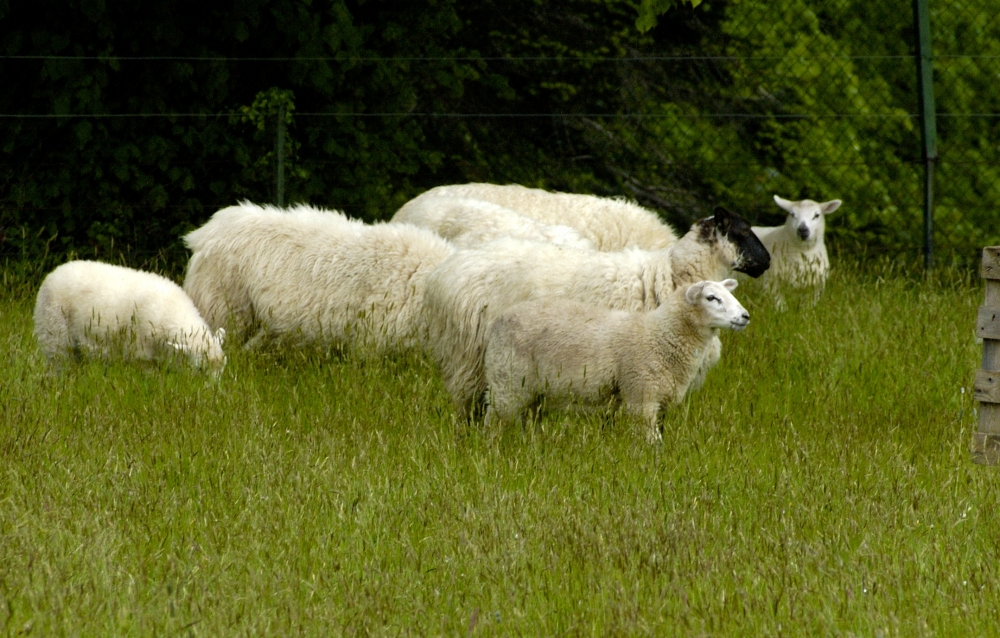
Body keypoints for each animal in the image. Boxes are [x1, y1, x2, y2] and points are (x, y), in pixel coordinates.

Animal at [483, 279, 749, 442]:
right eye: (711, 298)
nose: (745, 316)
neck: (659, 336)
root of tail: (499, 319)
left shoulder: (658, 401)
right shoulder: (641, 399)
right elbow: (652, 442)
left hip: (532, 391)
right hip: (507, 381)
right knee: (493, 422)